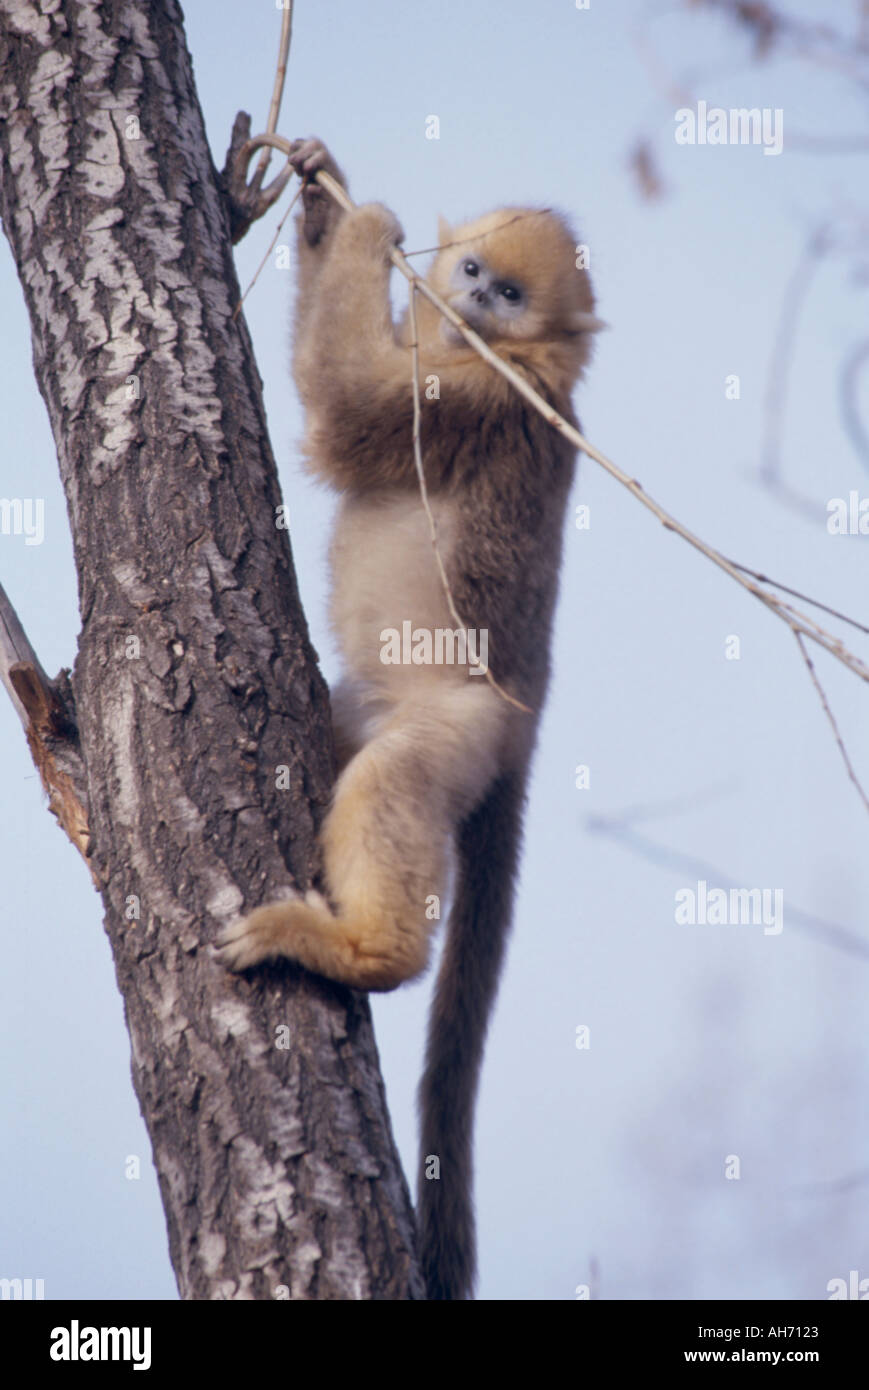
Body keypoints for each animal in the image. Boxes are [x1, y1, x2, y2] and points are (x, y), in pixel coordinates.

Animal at [217, 137, 599, 1300]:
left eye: (509, 294)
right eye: (470, 270)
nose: (466, 296)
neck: (494, 351)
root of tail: (527, 722)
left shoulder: (485, 392)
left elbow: (343, 416)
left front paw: (367, 223)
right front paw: (313, 193)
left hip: (459, 736)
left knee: (389, 783)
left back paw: (361, 953)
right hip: (372, 707)